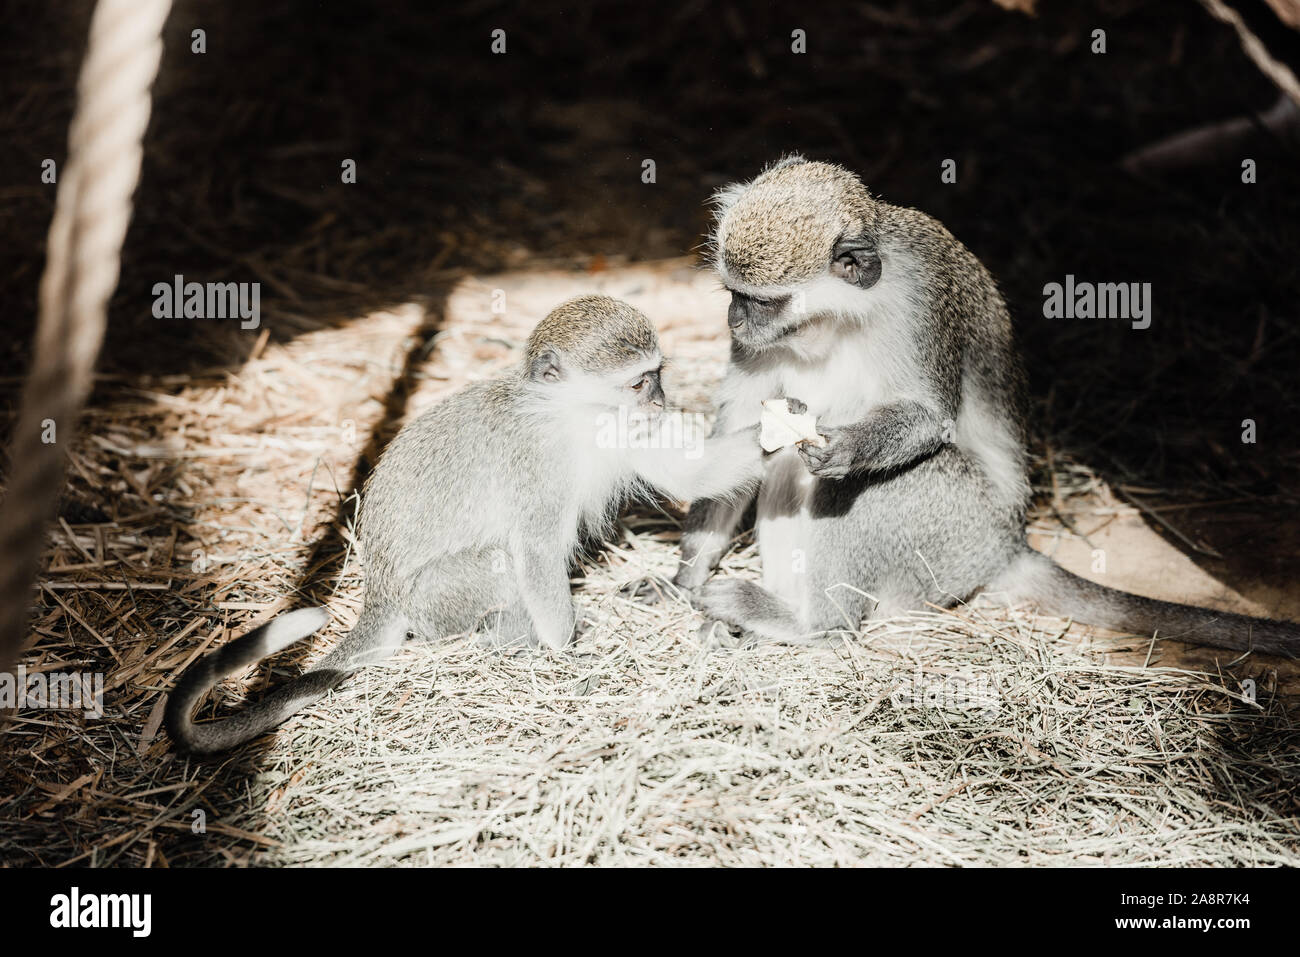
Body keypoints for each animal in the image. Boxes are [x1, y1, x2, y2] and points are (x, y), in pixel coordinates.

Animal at [165, 295, 764, 753]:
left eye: (657, 377)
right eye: (640, 383)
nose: (661, 403)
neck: (569, 417)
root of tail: (379, 596)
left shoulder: (625, 432)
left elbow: (693, 474)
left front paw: (782, 425)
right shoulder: (536, 460)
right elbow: (534, 549)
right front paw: (564, 649)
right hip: (433, 599)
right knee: (500, 565)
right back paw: (508, 639)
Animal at [669, 155, 1300, 657]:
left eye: (763, 301)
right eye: (733, 293)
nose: (734, 321)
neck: (835, 319)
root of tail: (1008, 546)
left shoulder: (921, 301)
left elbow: (925, 419)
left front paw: (847, 446)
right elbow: (741, 434)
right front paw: (684, 576)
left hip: (960, 537)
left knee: (868, 483)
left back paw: (809, 622)